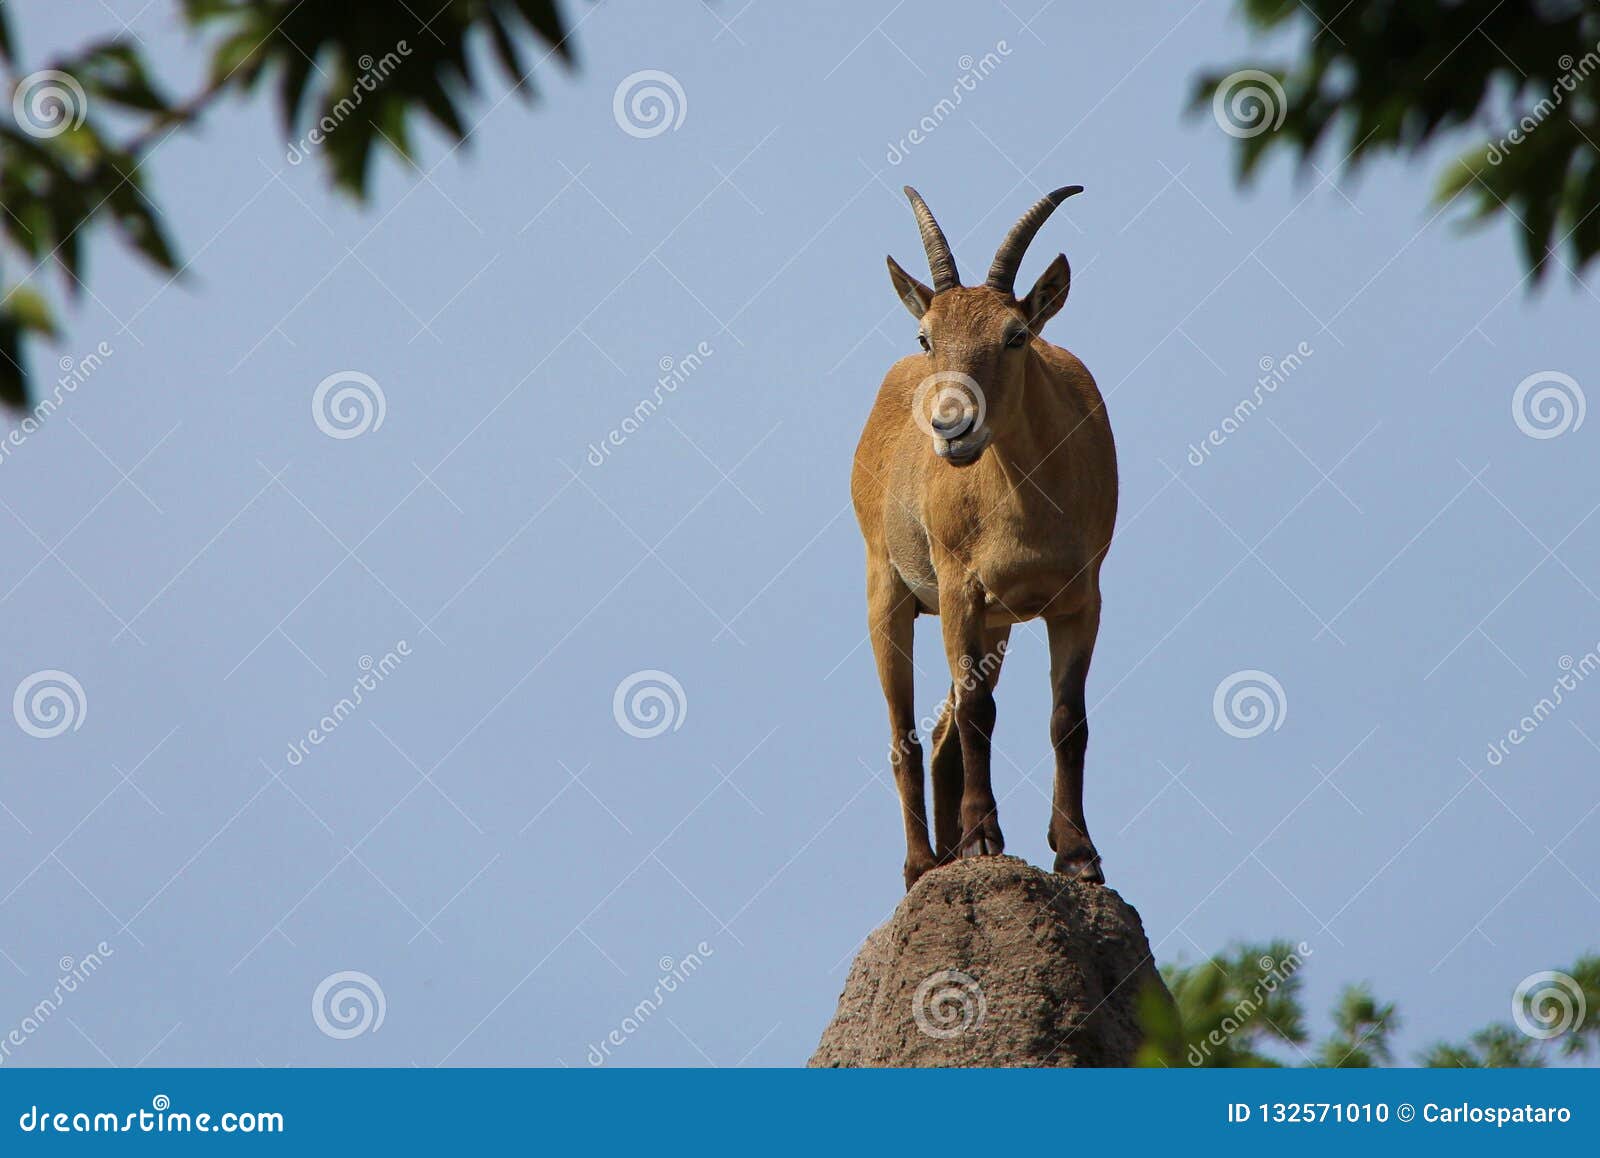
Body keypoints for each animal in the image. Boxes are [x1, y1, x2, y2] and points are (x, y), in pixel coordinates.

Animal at [851, 185, 1118, 891]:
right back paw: (924, 864)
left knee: (942, 736)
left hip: (997, 623)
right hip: (888, 588)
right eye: (927, 335)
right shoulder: (960, 591)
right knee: (907, 734)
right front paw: (984, 840)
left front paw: (1078, 853)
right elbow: (978, 713)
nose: (953, 426)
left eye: (1015, 334)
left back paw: (946, 855)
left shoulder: (1079, 598)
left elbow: (1067, 718)